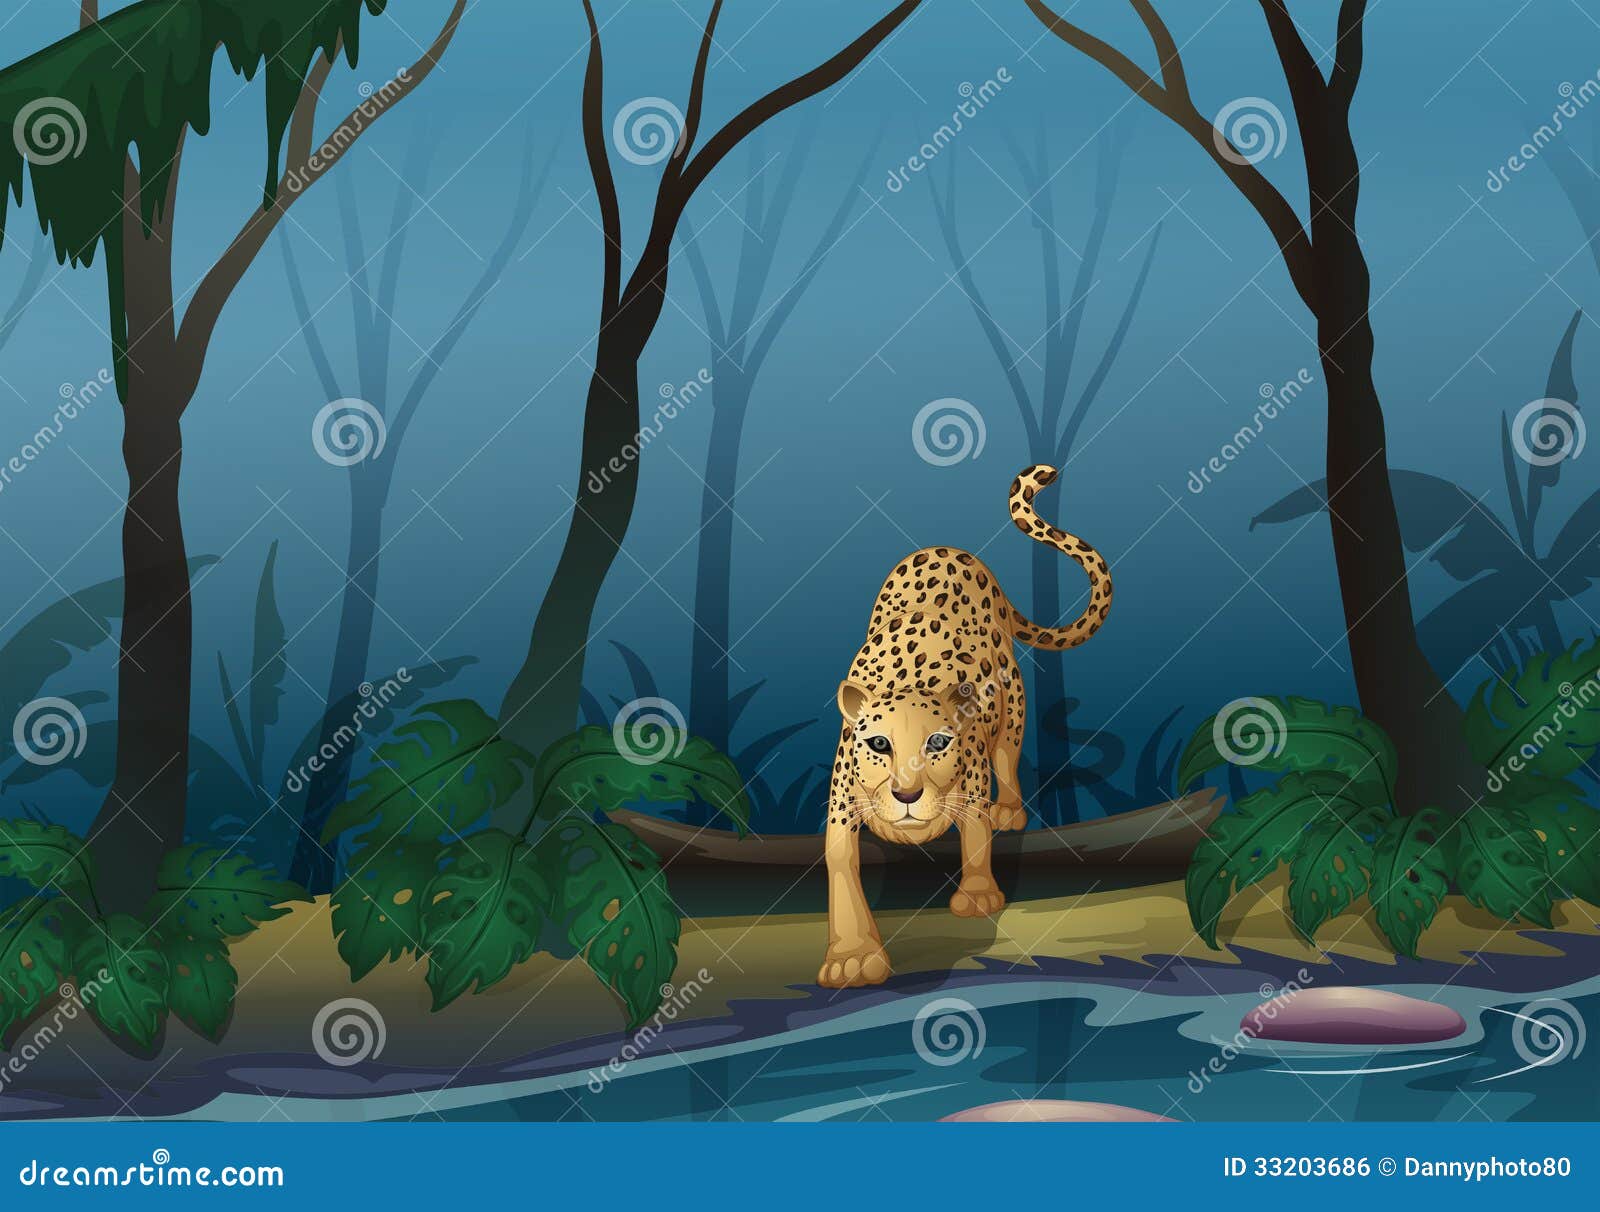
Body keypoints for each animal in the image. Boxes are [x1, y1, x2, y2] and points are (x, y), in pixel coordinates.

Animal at [817, 463, 1112, 989]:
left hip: (1013, 703)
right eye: (879, 744)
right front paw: (850, 957)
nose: (907, 794)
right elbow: (840, 863)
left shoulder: (971, 775)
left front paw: (977, 896)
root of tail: (954, 550)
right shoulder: (840, 802)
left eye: (937, 742)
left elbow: (974, 830)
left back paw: (1010, 811)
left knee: (1008, 757)